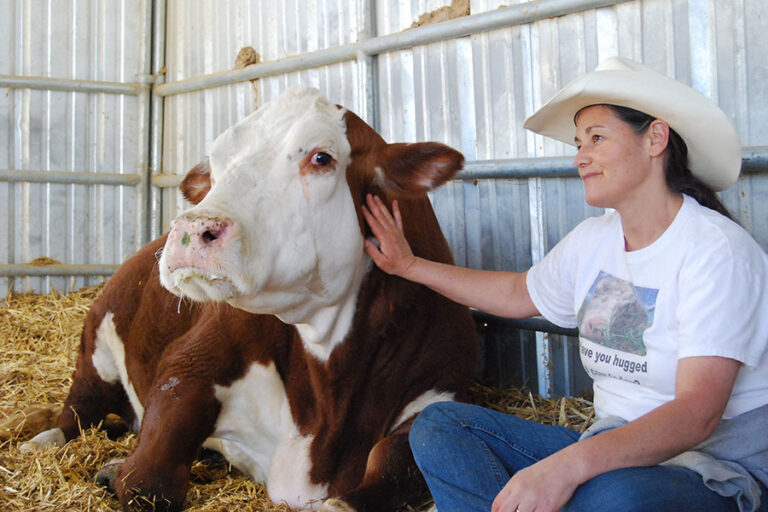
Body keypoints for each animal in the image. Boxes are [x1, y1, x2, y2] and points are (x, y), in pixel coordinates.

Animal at [22, 86, 478, 512]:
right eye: (217, 163)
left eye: (321, 157)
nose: (191, 228)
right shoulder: (191, 362)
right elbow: (146, 484)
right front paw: (118, 473)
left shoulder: (443, 390)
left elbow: (396, 459)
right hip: (96, 339)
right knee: (80, 407)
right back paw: (42, 441)